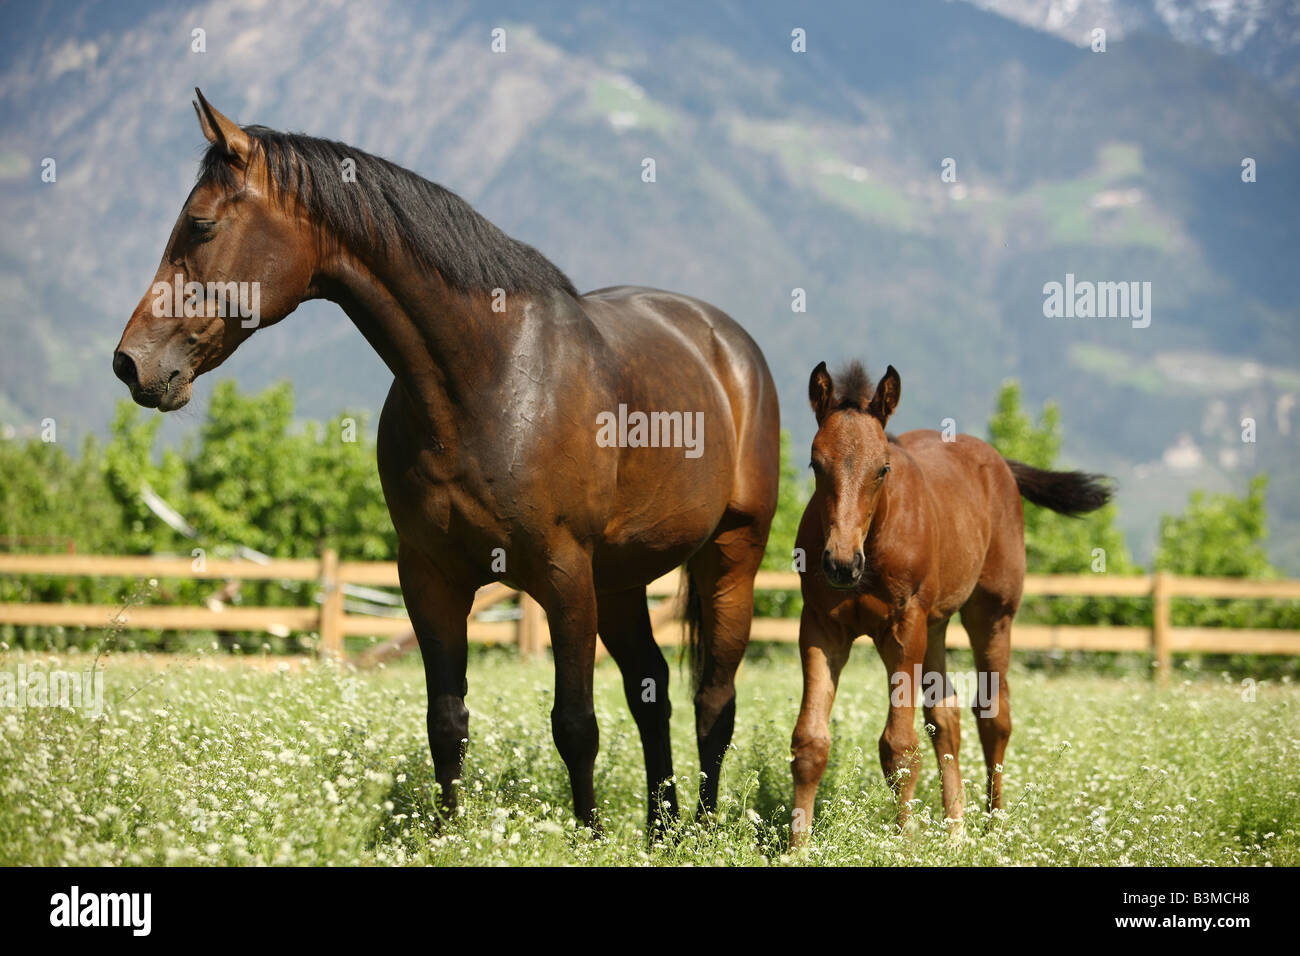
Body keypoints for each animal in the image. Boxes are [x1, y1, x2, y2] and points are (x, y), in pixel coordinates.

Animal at [113, 90, 780, 833]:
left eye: (200, 225)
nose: (131, 363)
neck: (485, 380)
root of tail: (727, 345)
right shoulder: (431, 578)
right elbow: (446, 722)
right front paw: (448, 833)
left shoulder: (564, 577)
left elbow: (575, 723)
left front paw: (587, 835)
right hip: (620, 580)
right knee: (652, 689)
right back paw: (661, 833)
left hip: (730, 557)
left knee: (714, 698)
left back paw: (703, 828)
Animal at [788, 360, 1111, 847]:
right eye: (815, 463)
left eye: (882, 469)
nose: (841, 564)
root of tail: (998, 460)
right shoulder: (822, 629)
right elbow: (811, 741)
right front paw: (796, 848)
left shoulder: (904, 628)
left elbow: (900, 746)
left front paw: (903, 844)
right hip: (936, 625)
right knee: (946, 714)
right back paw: (955, 831)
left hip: (991, 614)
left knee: (993, 716)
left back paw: (994, 829)